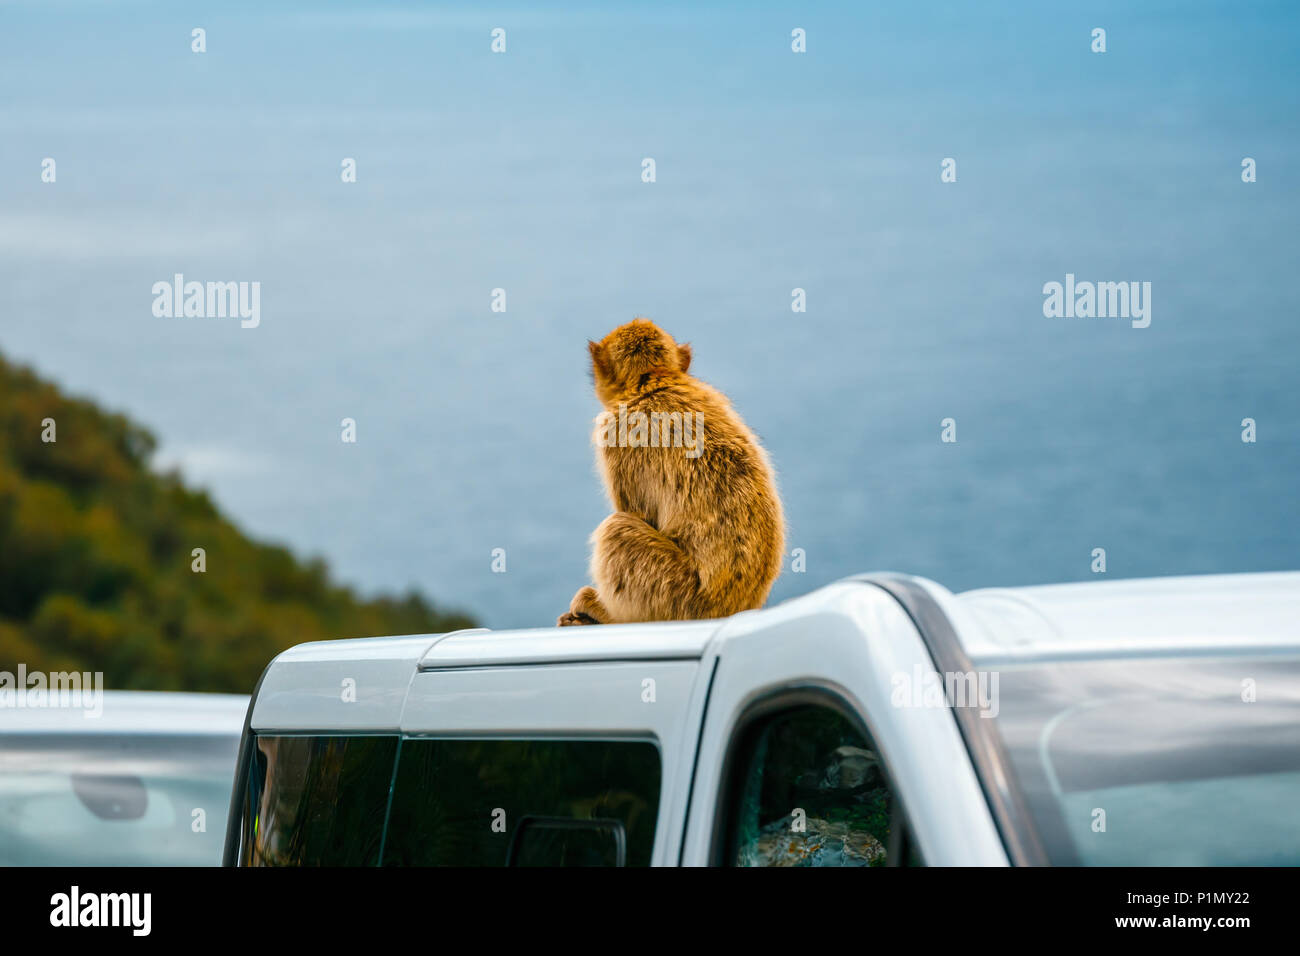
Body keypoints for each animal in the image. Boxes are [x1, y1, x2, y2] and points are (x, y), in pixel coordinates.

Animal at [557, 318, 784, 626]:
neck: (654, 381)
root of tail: (730, 609)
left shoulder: (616, 432)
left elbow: (638, 513)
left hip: (674, 596)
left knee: (617, 529)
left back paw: (608, 614)